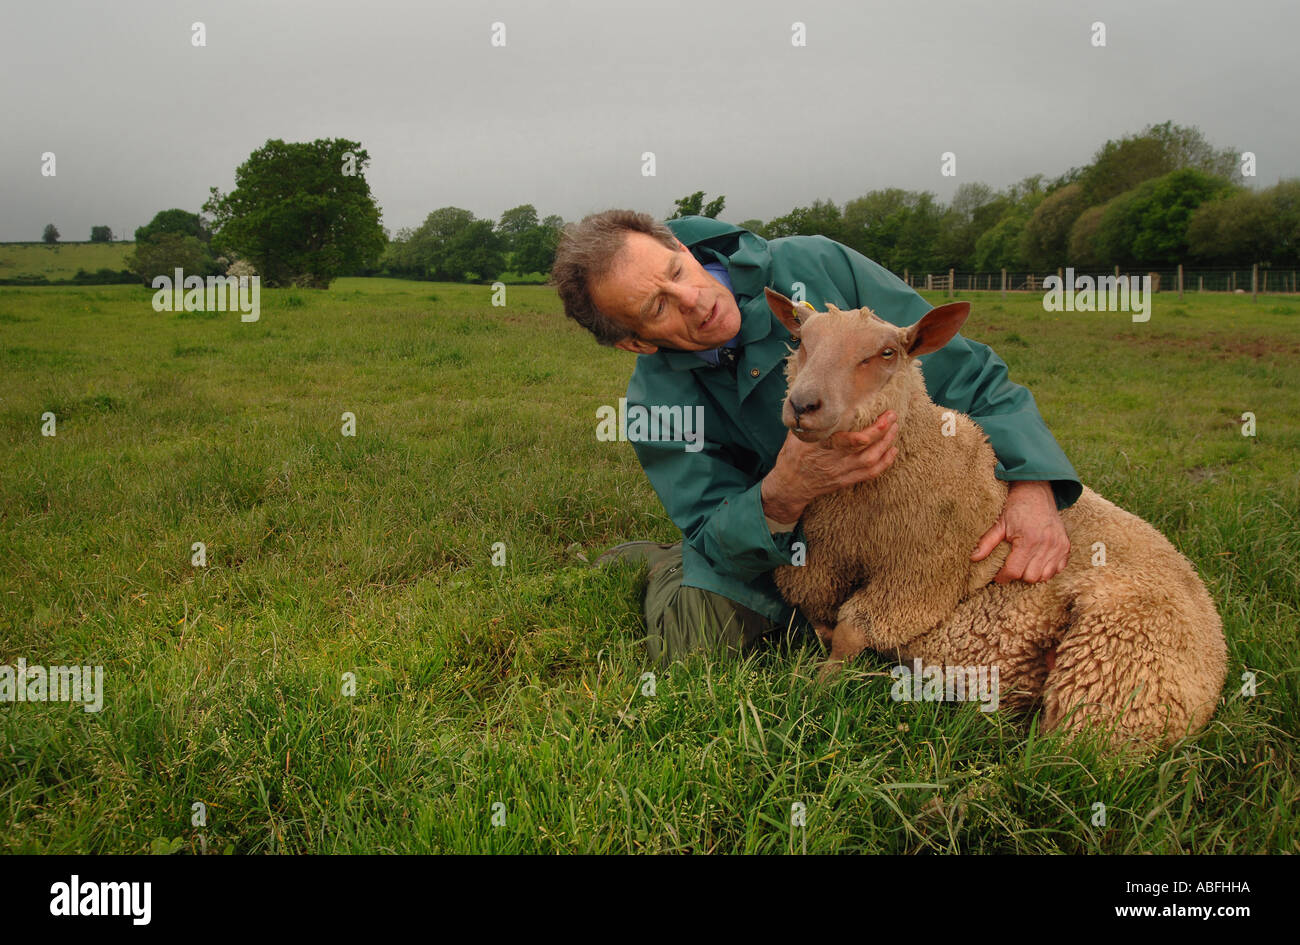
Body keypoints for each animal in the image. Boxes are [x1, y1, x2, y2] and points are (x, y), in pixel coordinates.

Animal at [764, 287, 1227, 749]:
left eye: (887, 353)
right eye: (801, 340)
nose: (803, 405)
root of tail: (1218, 651)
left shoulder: (921, 573)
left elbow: (851, 631)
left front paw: (819, 686)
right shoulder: (821, 559)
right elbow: (816, 614)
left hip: (1109, 674)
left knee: (1069, 751)